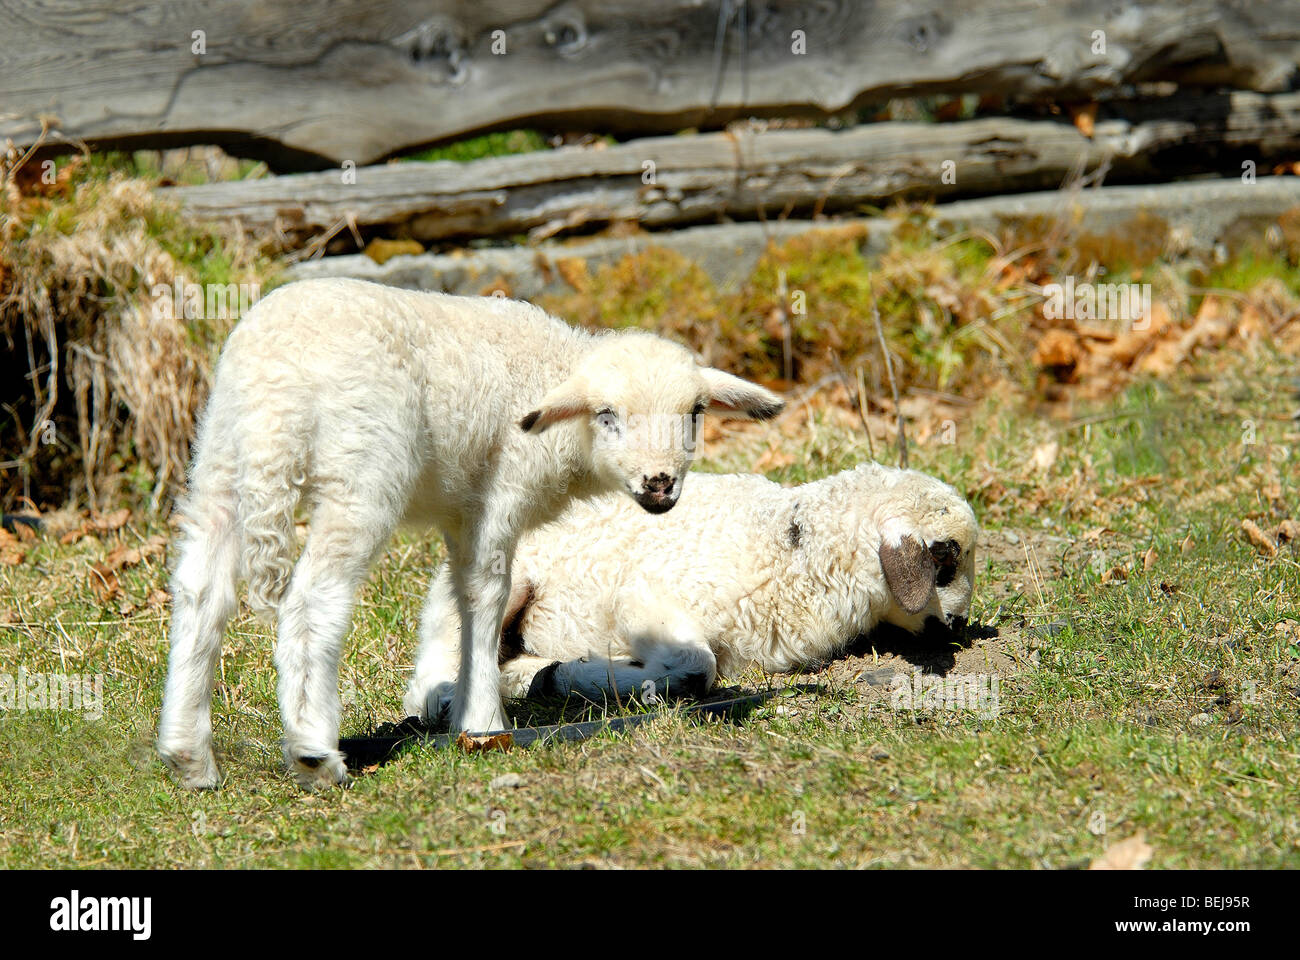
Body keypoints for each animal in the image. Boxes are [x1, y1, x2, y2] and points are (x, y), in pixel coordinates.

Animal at [156, 277, 783, 789]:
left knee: (200, 592)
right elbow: (486, 596)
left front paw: (458, 702)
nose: (660, 484)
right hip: (359, 471)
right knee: (313, 602)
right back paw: (313, 753)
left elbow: (462, 597)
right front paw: (482, 725)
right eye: (607, 416)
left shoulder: (463, 509)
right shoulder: (500, 492)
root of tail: (274, 384)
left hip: (221, 456)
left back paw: (189, 755)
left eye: (696, 412)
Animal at [404, 461, 978, 715]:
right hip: (506, 576)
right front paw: (582, 676)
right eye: (944, 559)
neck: (789, 545)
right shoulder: (641, 596)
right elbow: (696, 668)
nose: (956, 625)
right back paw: (452, 699)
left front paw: (559, 674)